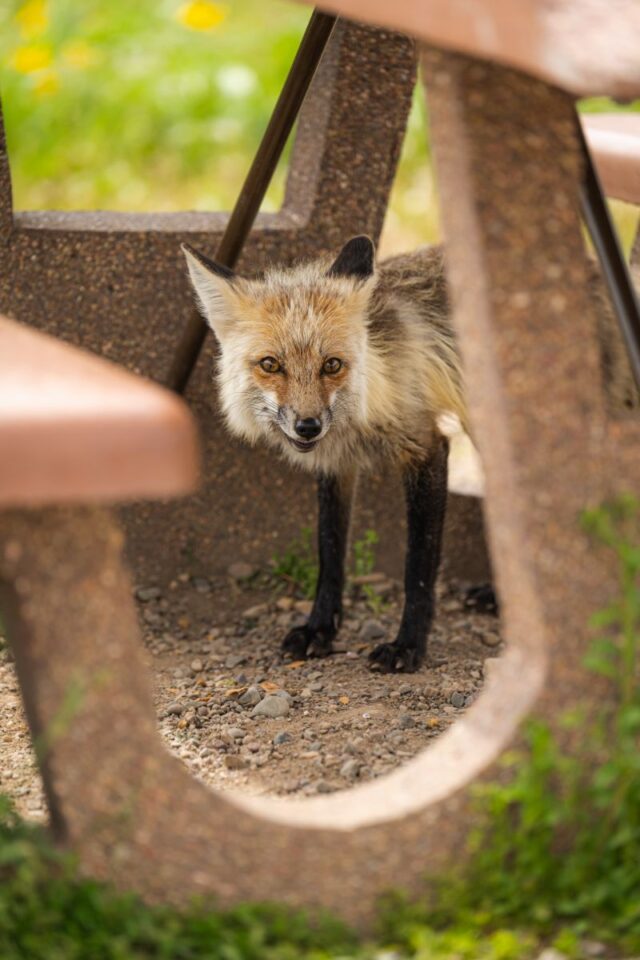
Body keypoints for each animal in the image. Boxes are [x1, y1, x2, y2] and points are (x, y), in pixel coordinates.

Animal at [182, 235, 637, 673]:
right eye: (271, 364)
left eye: (332, 365)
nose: (307, 426)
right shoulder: (336, 466)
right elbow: (330, 553)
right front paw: (320, 630)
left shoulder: (427, 448)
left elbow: (417, 567)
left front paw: (408, 646)